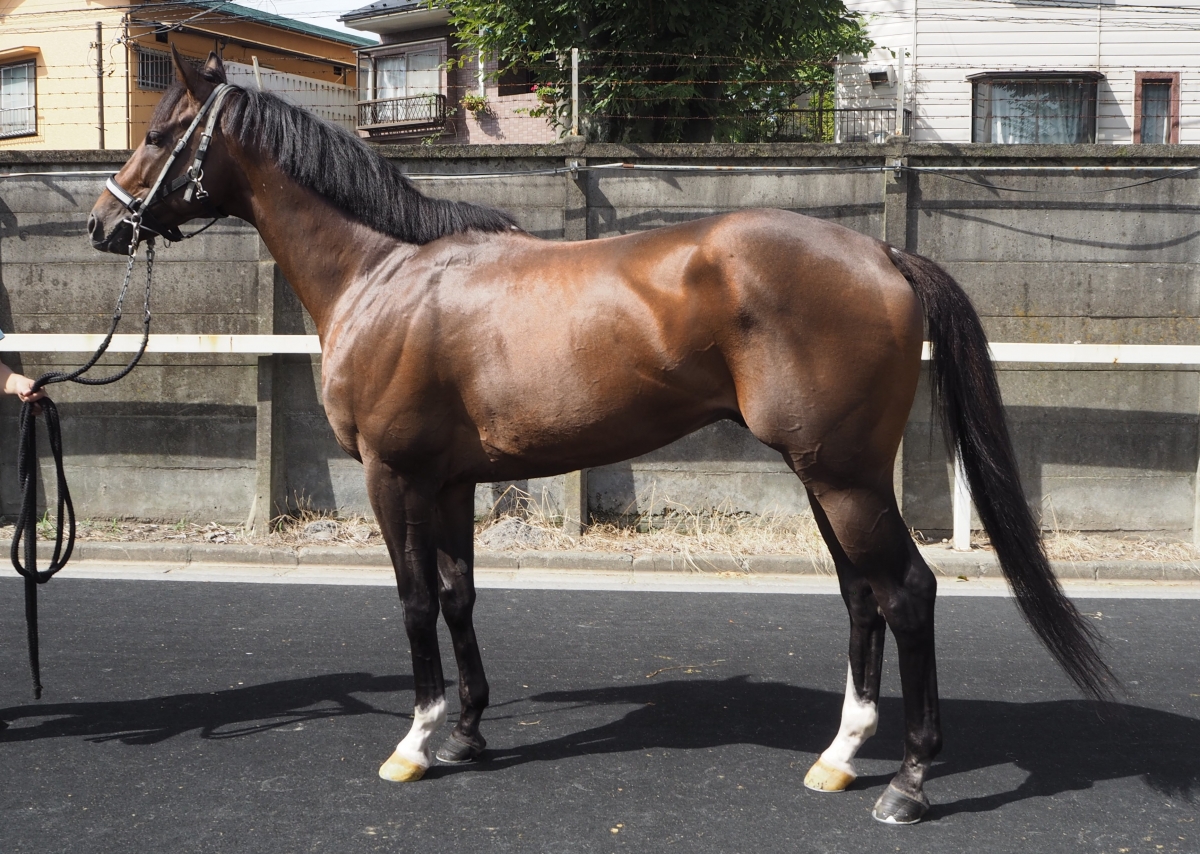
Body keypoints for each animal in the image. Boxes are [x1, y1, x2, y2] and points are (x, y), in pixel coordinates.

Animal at [87, 49, 1111, 825]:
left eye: (157, 134)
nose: (103, 223)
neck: (385, 273)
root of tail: (885, 253)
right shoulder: (450, 481)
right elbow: (458, 596)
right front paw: (468, 733)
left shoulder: (393, 476)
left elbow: (415, 603)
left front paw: (415, 741)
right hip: (829, 473)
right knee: (862, 597)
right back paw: (840, 755)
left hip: (845, 475)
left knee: (906, 593)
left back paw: (908, 782)